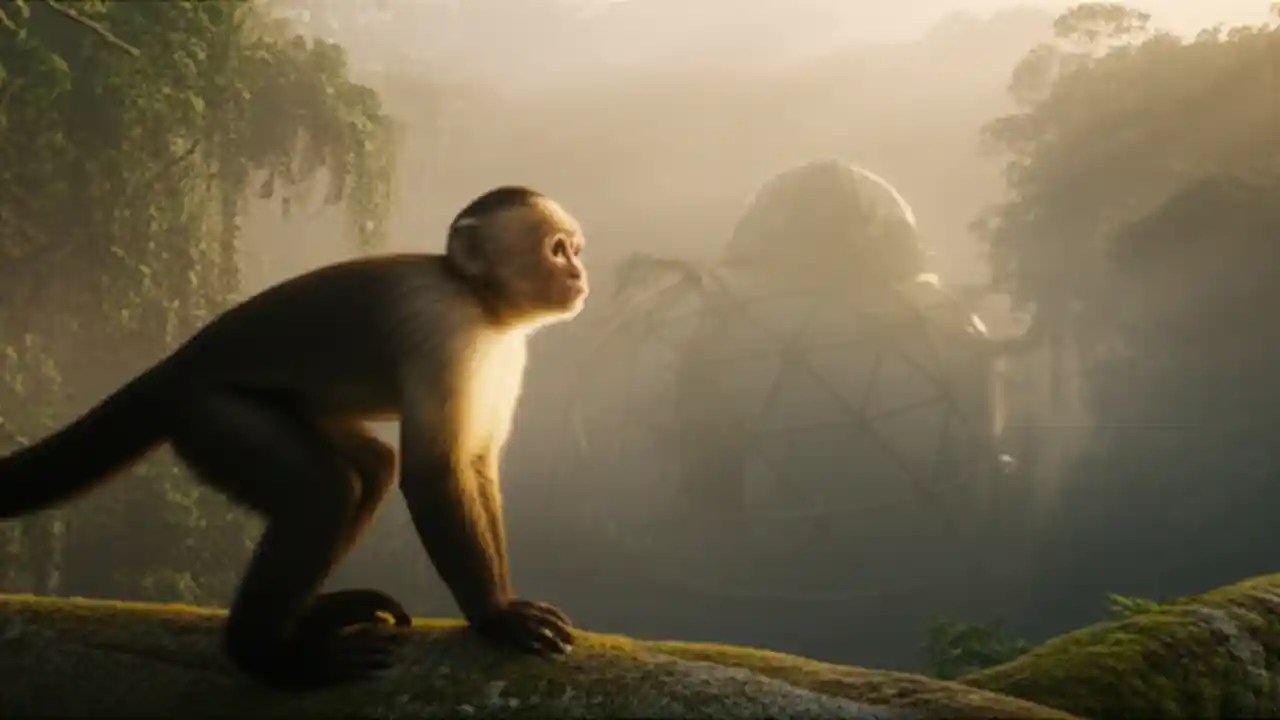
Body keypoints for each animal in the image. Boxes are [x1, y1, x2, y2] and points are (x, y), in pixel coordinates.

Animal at [0, 186, 588, 689]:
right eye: (558, 250)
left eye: (574, 250)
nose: (580, 271)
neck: (480, 301)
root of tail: (179, 362)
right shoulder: (442, 325)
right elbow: (436, 472)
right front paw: (494, 615)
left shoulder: (503, 350)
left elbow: (476, 461)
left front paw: (501, 603)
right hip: (211, 412)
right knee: (322, 490)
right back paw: (266, 654)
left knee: (371, 468)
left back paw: (309, 619)